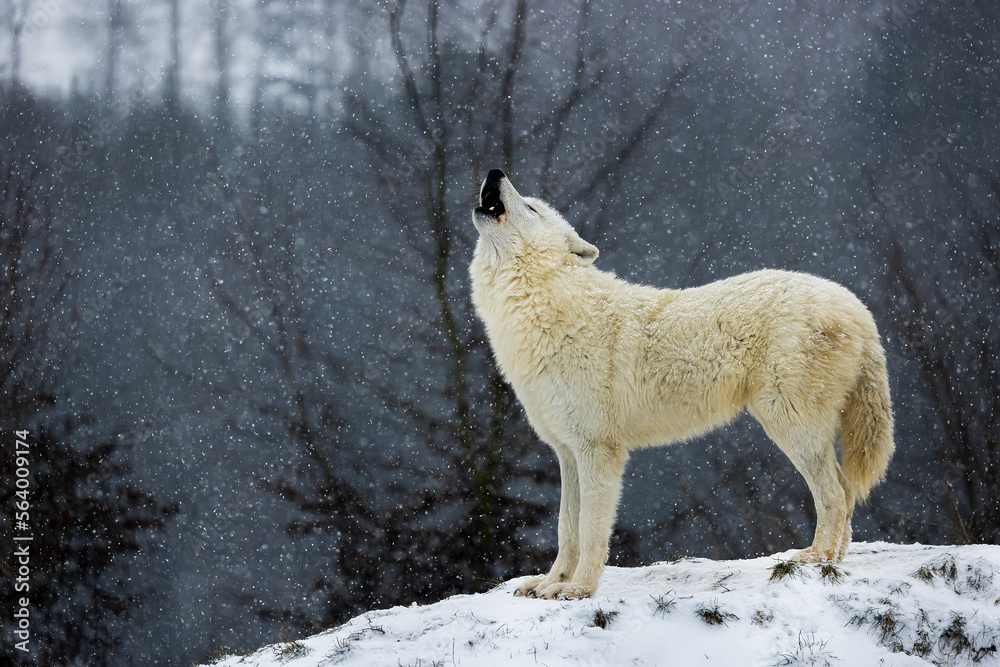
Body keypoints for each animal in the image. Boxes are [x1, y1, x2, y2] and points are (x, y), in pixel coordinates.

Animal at [469, 169, 894, 600]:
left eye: (531, 207)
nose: (494, 172)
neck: (545, 307)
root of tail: (857, 307)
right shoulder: (567, 452)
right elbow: (566, 529)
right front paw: (550, 584)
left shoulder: (598, 449)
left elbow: (589, 530)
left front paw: (579, 590)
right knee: (845, 491)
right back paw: (830, 562)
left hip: (789, 425)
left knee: (835, 494)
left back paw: (814, 559)